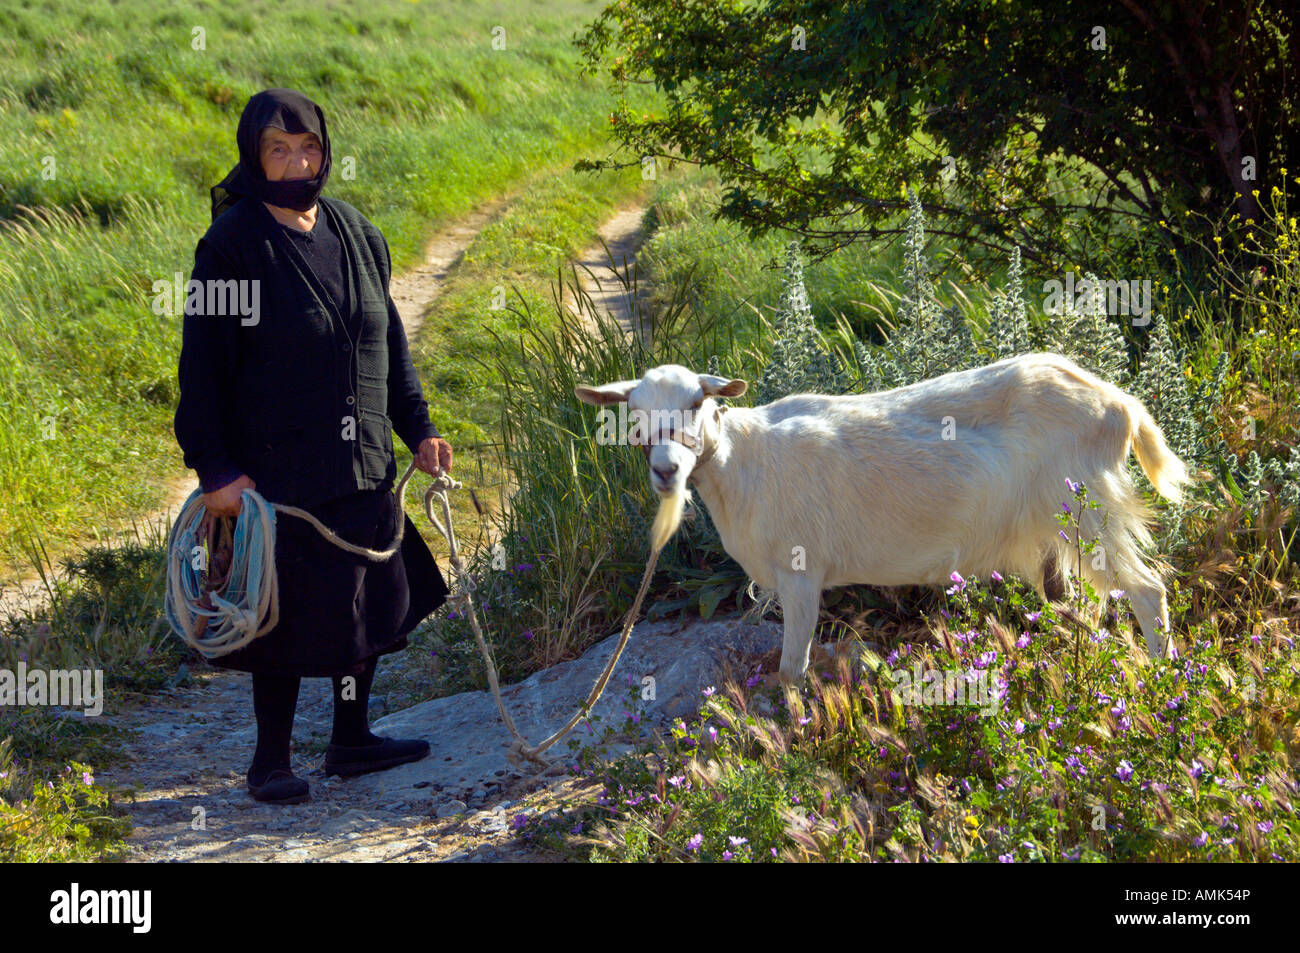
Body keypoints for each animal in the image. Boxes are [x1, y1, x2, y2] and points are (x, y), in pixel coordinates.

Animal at [576, 353, 1190, 684]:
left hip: (1087, 508)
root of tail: (1119, 402)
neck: (744, 463)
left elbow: (791, 671)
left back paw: (1165, 684)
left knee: (1147, 591)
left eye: (696, 403)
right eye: (634, 413)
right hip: (1072, 524)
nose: (666, 470)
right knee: (1099, 596)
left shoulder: (801, 574)